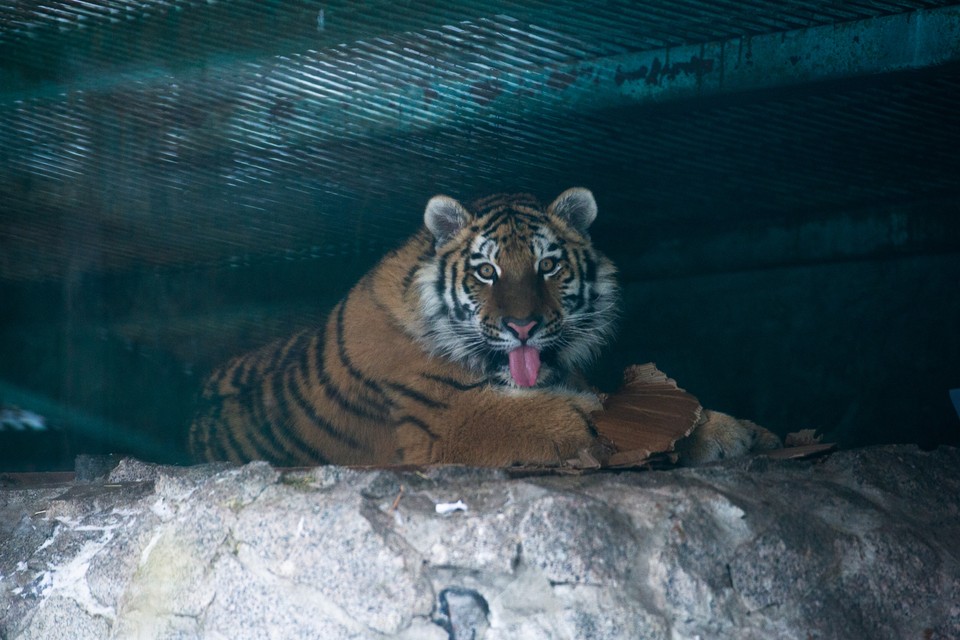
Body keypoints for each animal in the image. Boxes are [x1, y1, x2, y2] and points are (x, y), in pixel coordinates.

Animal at [189, 186, 780, 464]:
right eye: (486, 271)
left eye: (548, 266)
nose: (522, 327)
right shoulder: (446, 422)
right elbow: (575, 418)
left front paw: (739, 431)